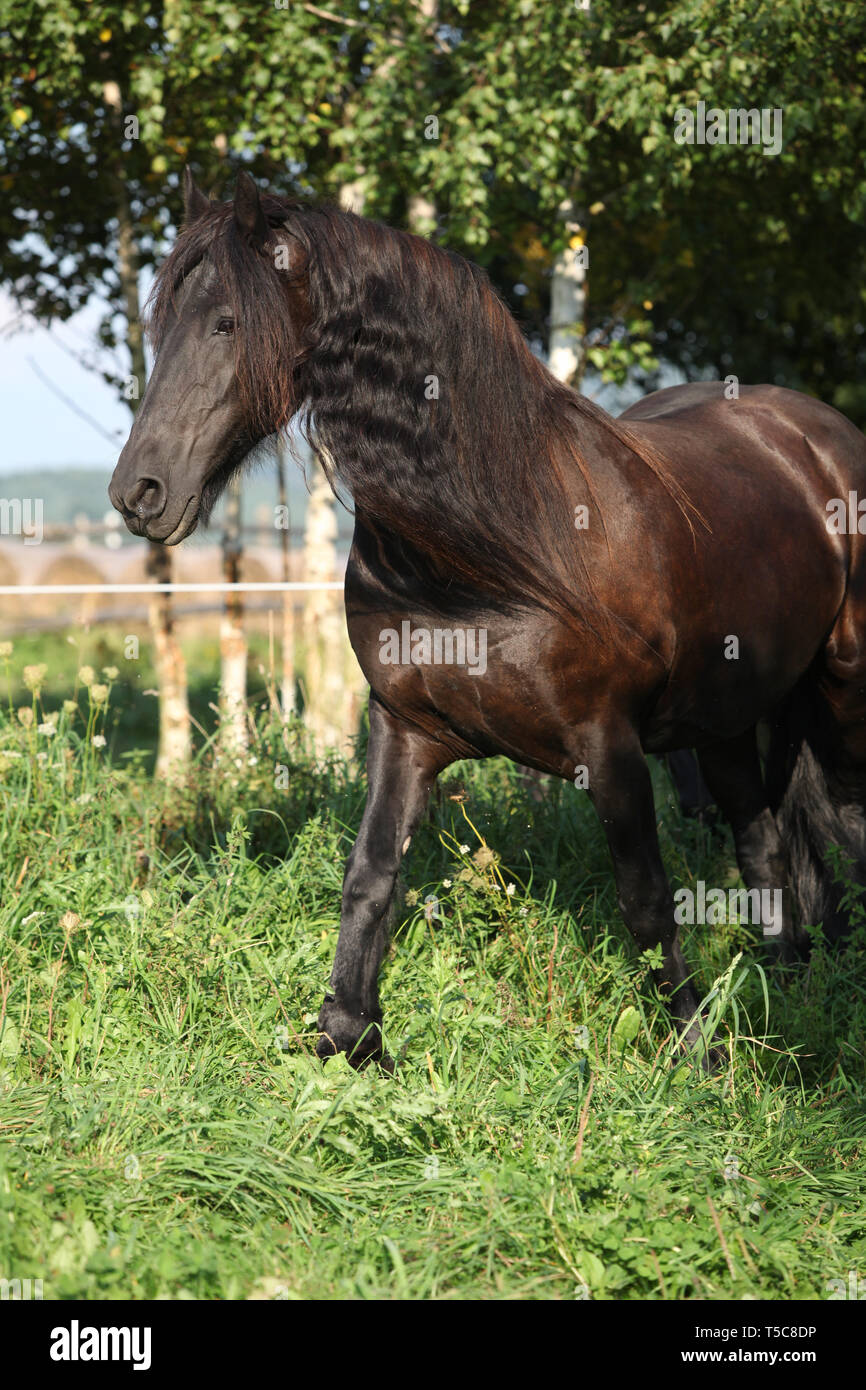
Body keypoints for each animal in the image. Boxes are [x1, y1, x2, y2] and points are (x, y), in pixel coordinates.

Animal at [110, 169, 866, 1069]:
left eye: (226, 322)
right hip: (722, 720)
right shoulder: (405, 728)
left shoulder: (608, 745)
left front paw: (692, 1053)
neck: (488, 544)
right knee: (765, 847)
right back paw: (787, 994)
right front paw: (347, 1035)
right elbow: (370, 875)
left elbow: (646, 899)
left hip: (839, 692)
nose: (138, 492)